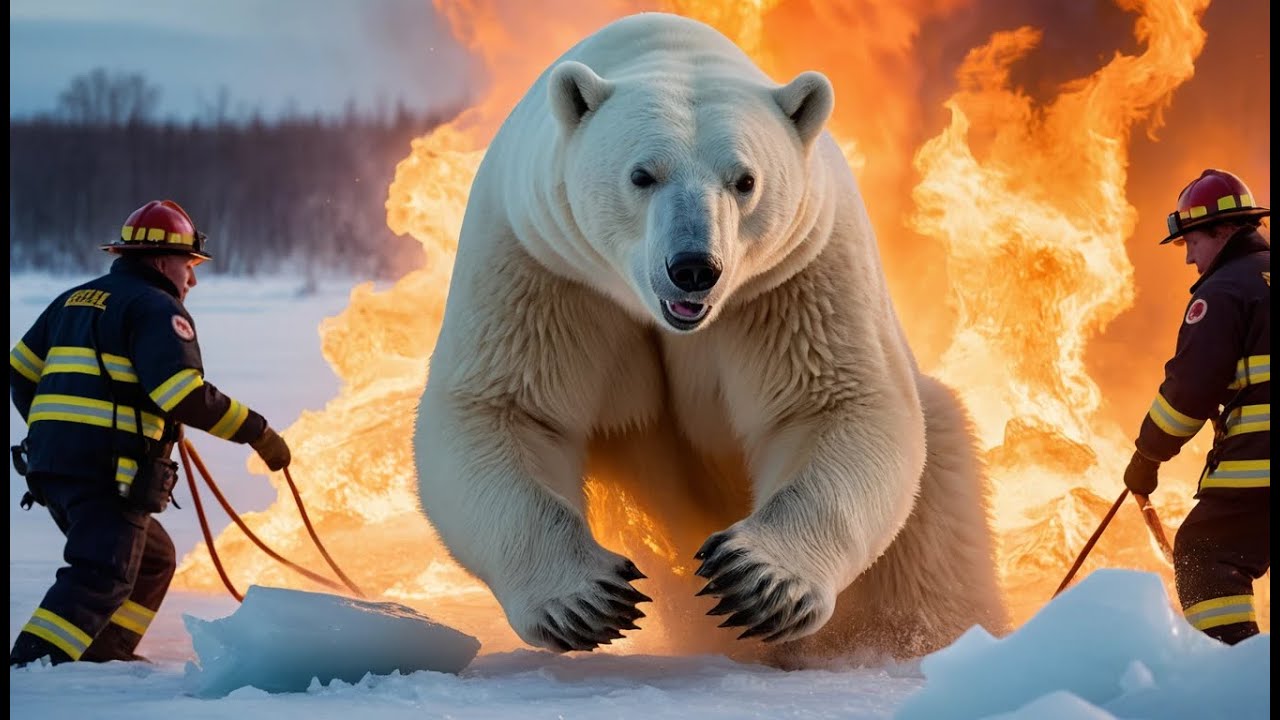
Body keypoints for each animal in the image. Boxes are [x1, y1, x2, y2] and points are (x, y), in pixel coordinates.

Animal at [413, 11, 1008, 665]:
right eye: (642, 174)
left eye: (744, 180)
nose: (694, 267)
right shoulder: (544, 265)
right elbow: (503, 410)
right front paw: (588, 600)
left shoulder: (792, 277)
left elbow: (835, 405)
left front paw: (755, 581)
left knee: (934, 511)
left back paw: (906, 640)